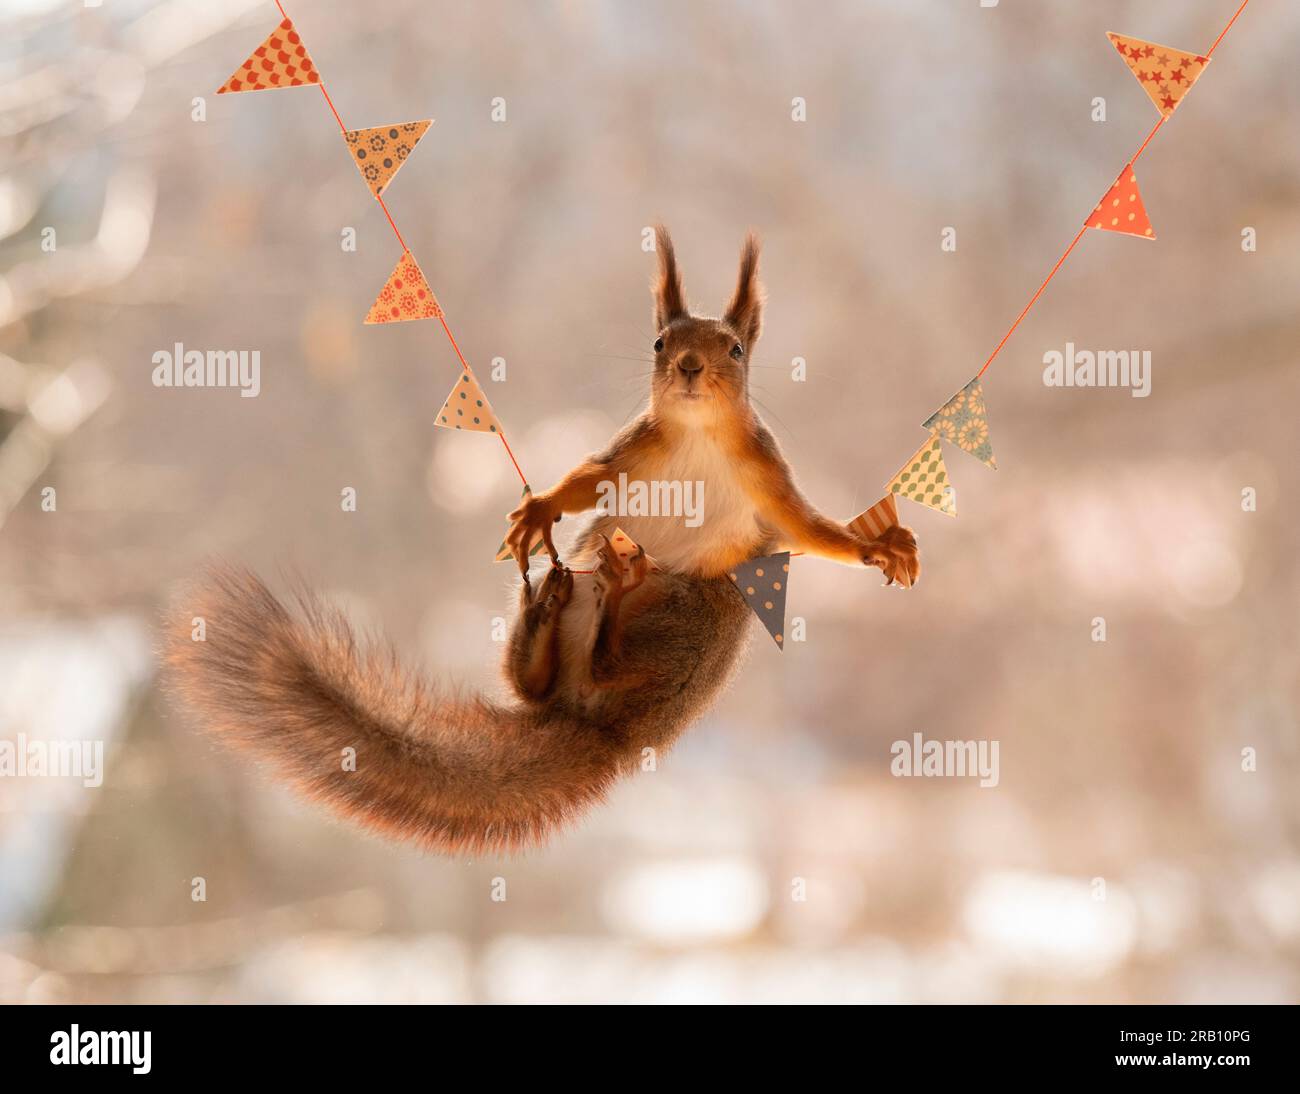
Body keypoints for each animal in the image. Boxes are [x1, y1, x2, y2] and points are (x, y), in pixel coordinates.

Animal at [164, 227, 920, 855]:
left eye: (734, 349)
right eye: (659, 343)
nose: (689, 367)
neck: (699, 432)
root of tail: (605, 733)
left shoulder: (768, 477)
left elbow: (807, 527)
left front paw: (880, 548)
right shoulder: (630, 451)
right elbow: (587, 481)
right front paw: (539, 511)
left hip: (692, 616)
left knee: (613, 663)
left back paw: (614, 604)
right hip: (582, 610)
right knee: (532, 683)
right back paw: (544, 613)